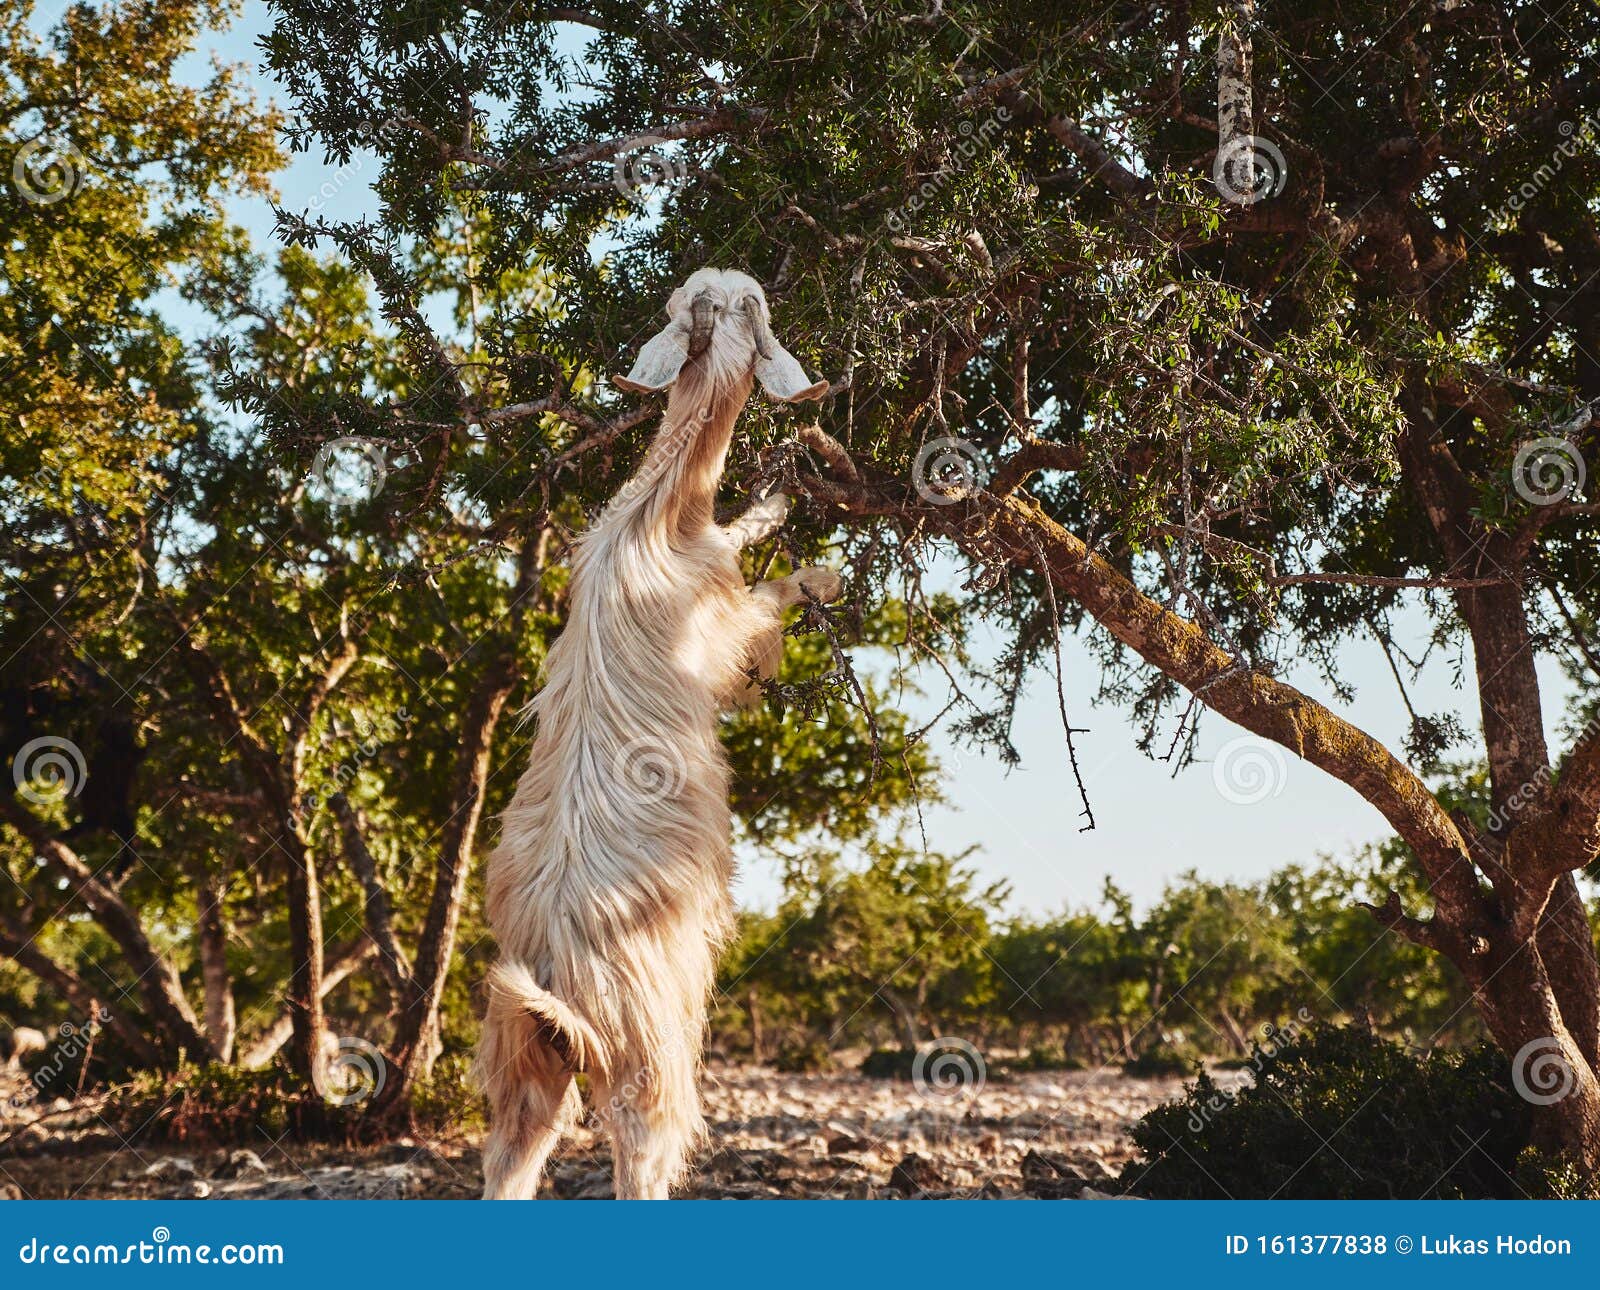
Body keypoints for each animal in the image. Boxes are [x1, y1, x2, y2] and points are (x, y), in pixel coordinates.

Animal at [478, 269, 837, 1199]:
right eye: (750, 304)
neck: (659, 516)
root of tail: (557, 983)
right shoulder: (724, 631)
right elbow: (769, 596)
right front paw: (816, 562)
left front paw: (779, 493)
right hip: (651, 1041)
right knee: (643, 1148)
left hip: (521, 1054)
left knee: (512, 1148)